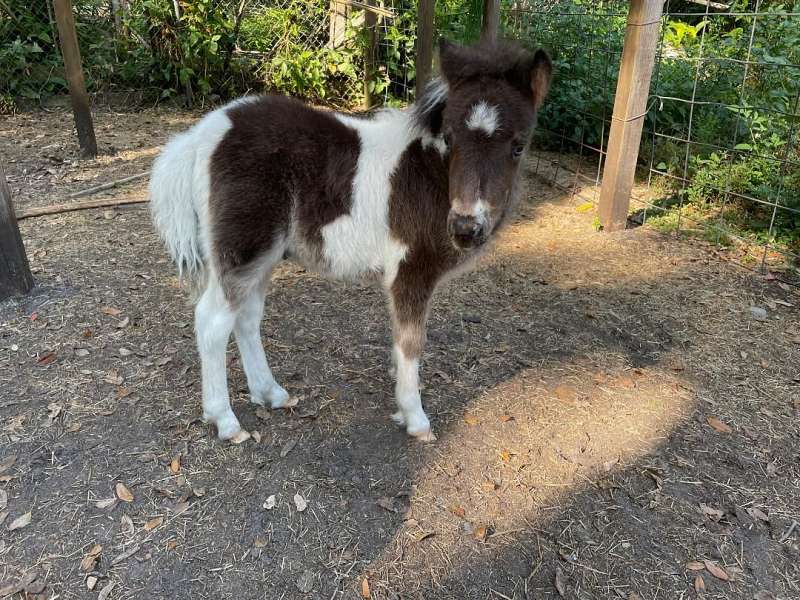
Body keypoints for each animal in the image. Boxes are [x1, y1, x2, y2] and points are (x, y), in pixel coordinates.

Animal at [149, 39, 551, 443]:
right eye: (450, 139)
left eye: (519, 146)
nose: (466, 228)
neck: (430, 173)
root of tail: (202, 133)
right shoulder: (410, 269)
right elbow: (412, 342)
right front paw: (415, 417)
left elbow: (400, 342)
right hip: (244, 247)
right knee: (212, 321)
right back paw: (225, 420)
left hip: (263, 255)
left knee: (246, 317)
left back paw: (270, 393)